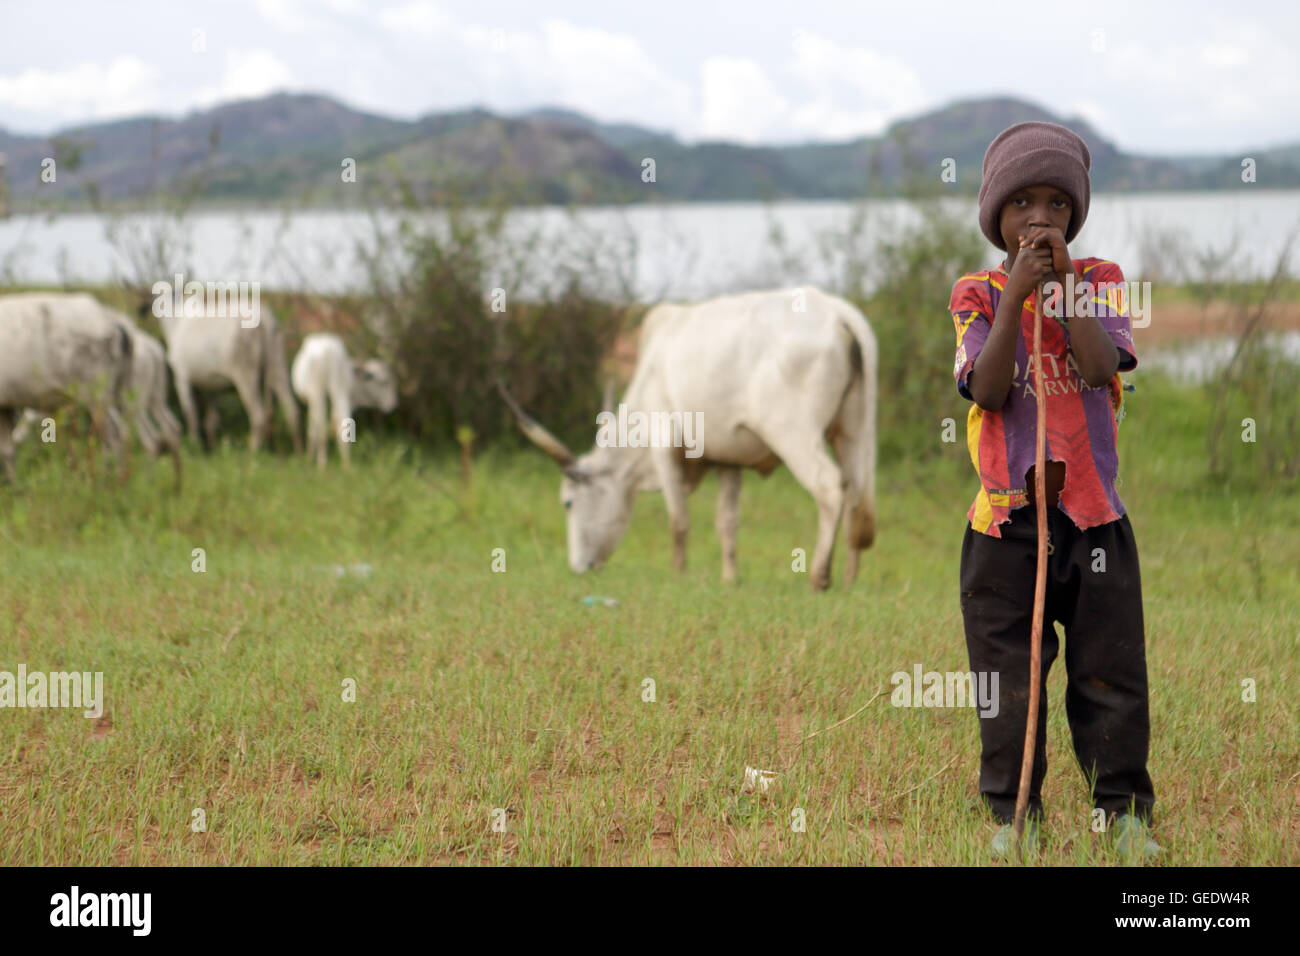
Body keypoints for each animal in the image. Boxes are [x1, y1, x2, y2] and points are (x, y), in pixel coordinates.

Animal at [0, 292, 133, 483]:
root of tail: (110, 320)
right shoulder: (5, 405)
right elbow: (7, 450)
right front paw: (12, 485)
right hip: (109, 396)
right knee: (121, 432)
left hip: (96, 394)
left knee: (113, 437)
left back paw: (110, 482)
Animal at [290, 332, 398, 467]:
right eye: (384, 382)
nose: (393, 405)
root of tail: (329, 349)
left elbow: (313, 427)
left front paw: (310, 457)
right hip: (336, 391)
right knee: (339, 424)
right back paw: (345, 464)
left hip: (319, 393)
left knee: (322, 426)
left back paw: (322, 464)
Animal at [500, 286, 878, 591]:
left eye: (568, 502)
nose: (578, 568)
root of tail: (835, 310)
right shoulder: (729, 459)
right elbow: (727, 523)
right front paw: (729, 579)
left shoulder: (663, 445)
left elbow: (678, 521)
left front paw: (678, 575)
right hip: (853, 431)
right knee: (856, 495)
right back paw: (850, 579)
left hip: (793, 433)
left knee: (830, 487)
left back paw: (820, 577)